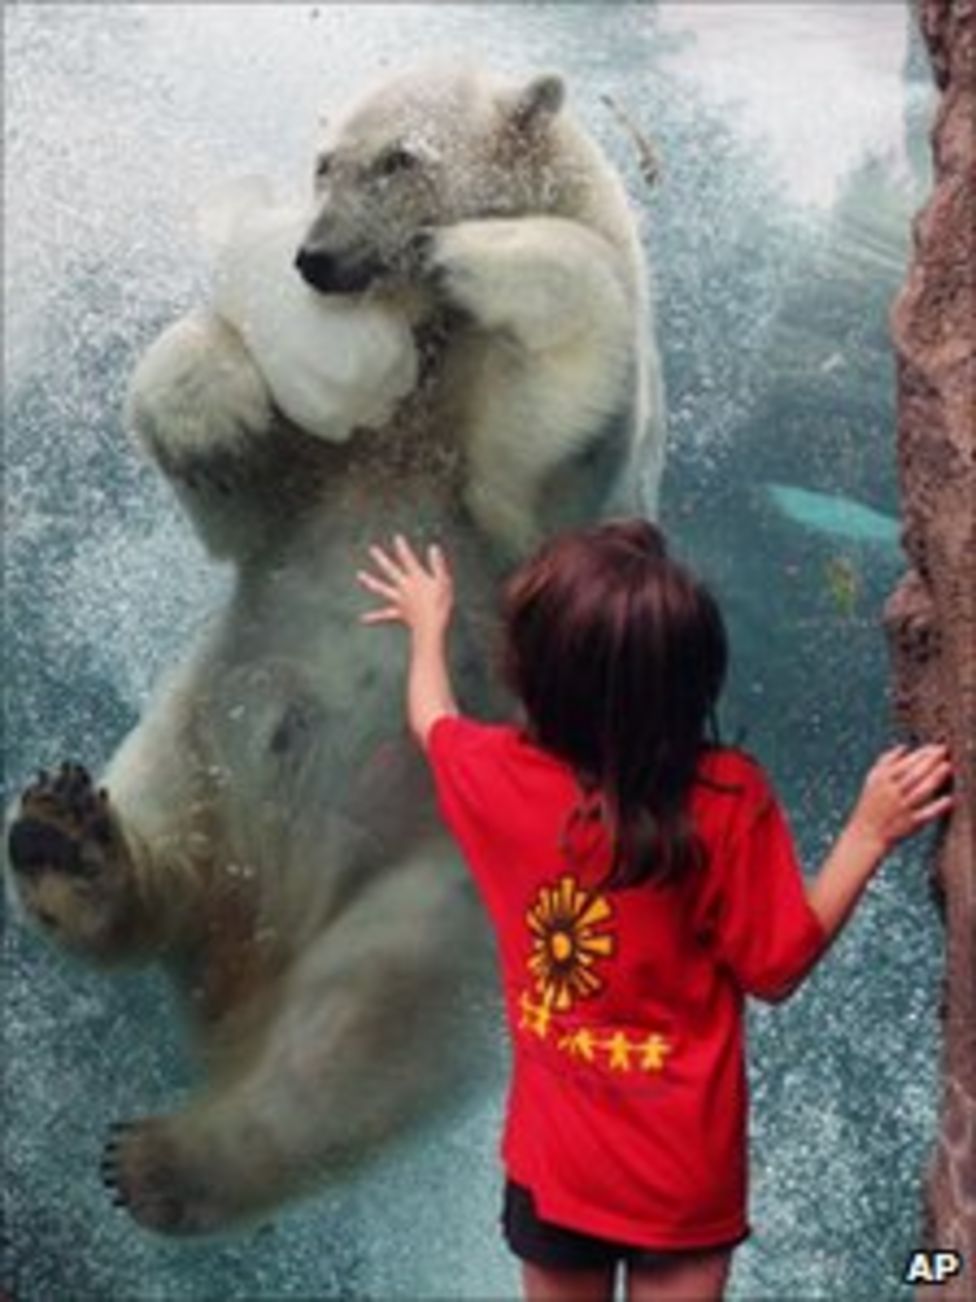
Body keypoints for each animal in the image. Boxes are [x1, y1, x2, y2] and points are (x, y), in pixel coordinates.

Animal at [5, 62, 664, 1235]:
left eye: (400, 160)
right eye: (322, 163)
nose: (313, 259)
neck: (423, 380)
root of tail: (253, 941)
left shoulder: (554, 480)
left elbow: (546, 436)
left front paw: (473, 260)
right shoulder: (330, 465)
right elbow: (239, 471)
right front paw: (218, 403)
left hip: (446, 882)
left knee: (353, 1036)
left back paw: (174, 1161)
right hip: (197, 732)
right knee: (155, 834)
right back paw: (65, 838)